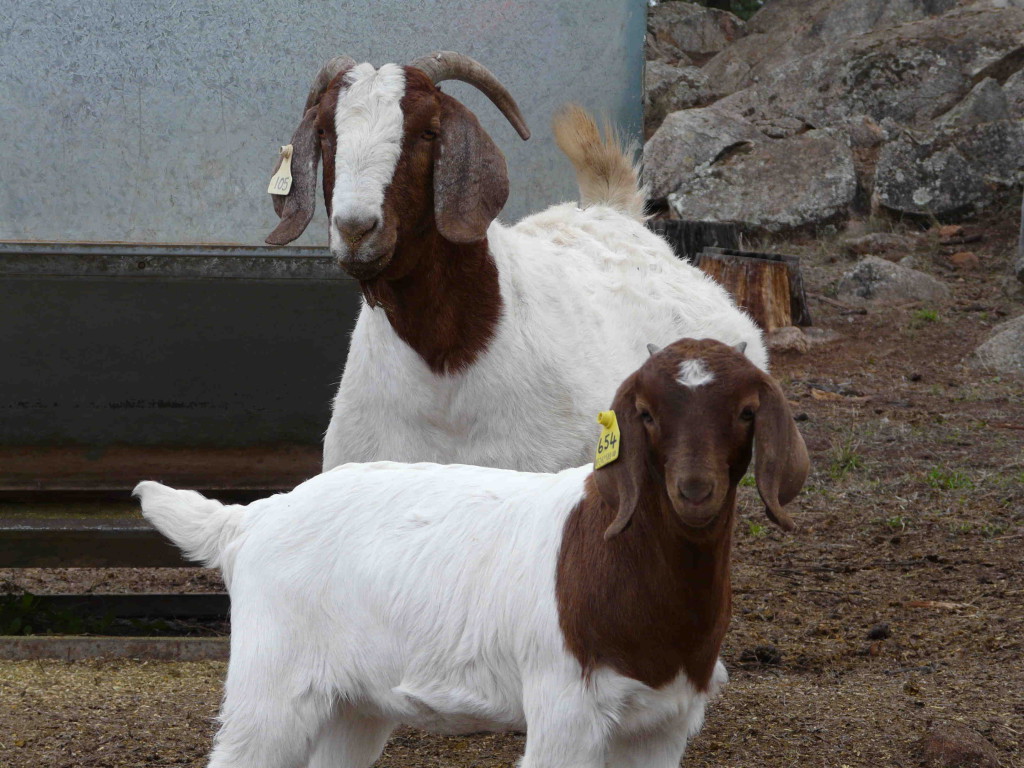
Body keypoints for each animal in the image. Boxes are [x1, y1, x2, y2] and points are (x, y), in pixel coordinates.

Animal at [136, 337, 809, 768]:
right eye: (644, 413)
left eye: (746, 411)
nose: (694, 490)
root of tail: (253, 519)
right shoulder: (564, 710)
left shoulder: (666, 721)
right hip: (273, 678)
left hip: (353, 701)